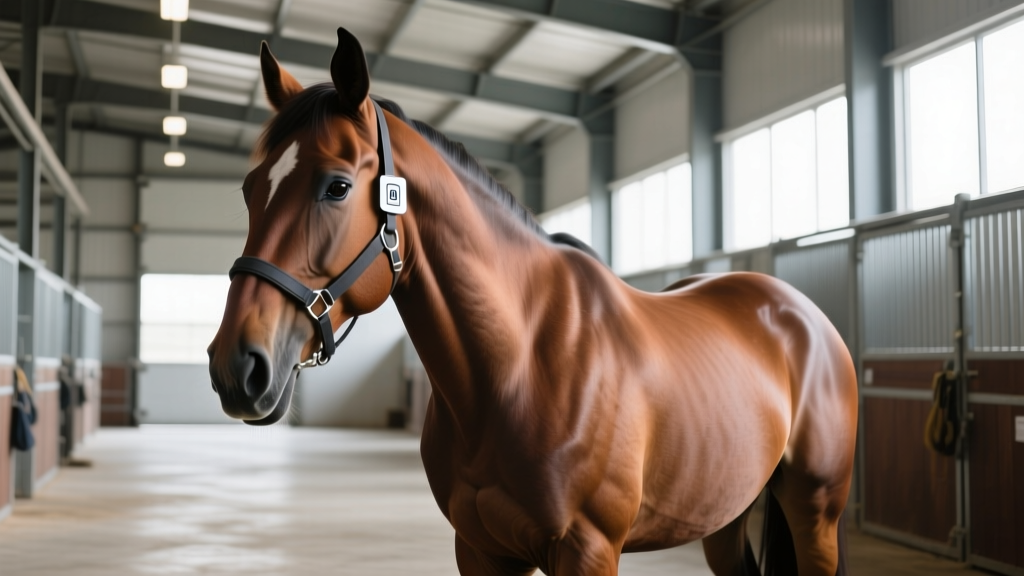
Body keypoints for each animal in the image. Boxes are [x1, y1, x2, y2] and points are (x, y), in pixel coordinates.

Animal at [208, 28, 858, 576]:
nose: (236, 366)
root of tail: (801, 314)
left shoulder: (589, 551)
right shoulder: (479, 550)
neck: (520, 365)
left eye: (337, 186)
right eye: (249, 189)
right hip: (725, 514)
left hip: (815, 514)